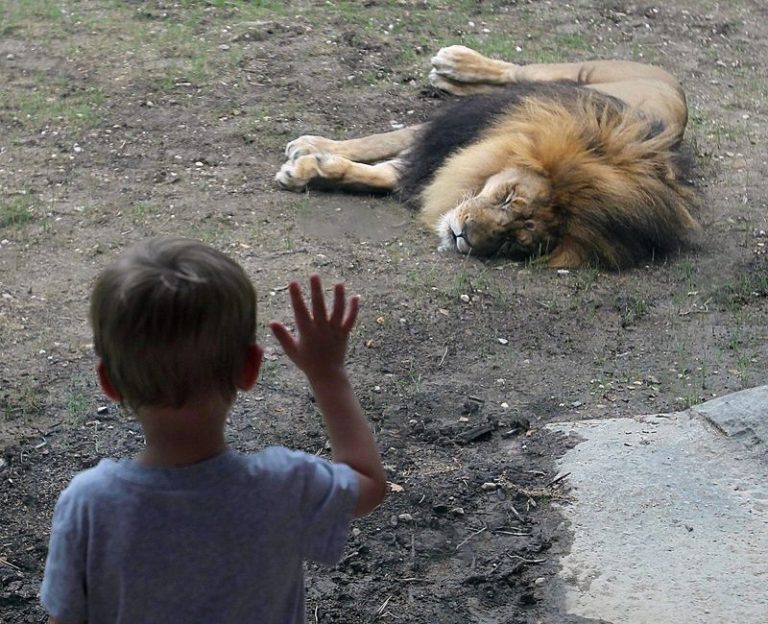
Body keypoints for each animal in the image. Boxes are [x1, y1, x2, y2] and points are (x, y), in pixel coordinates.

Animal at [275, 46, 699, 269]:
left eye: (515, 241)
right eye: (508, 197)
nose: (463, 235)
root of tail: (677, 85)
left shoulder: (439, 163)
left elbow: (378, 174)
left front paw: (312, 168)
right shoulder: (457, 132)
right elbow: (380, 141)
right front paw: (309, 147)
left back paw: (449, 76)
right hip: (571, 73)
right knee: (516, 71)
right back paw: (455, 63)